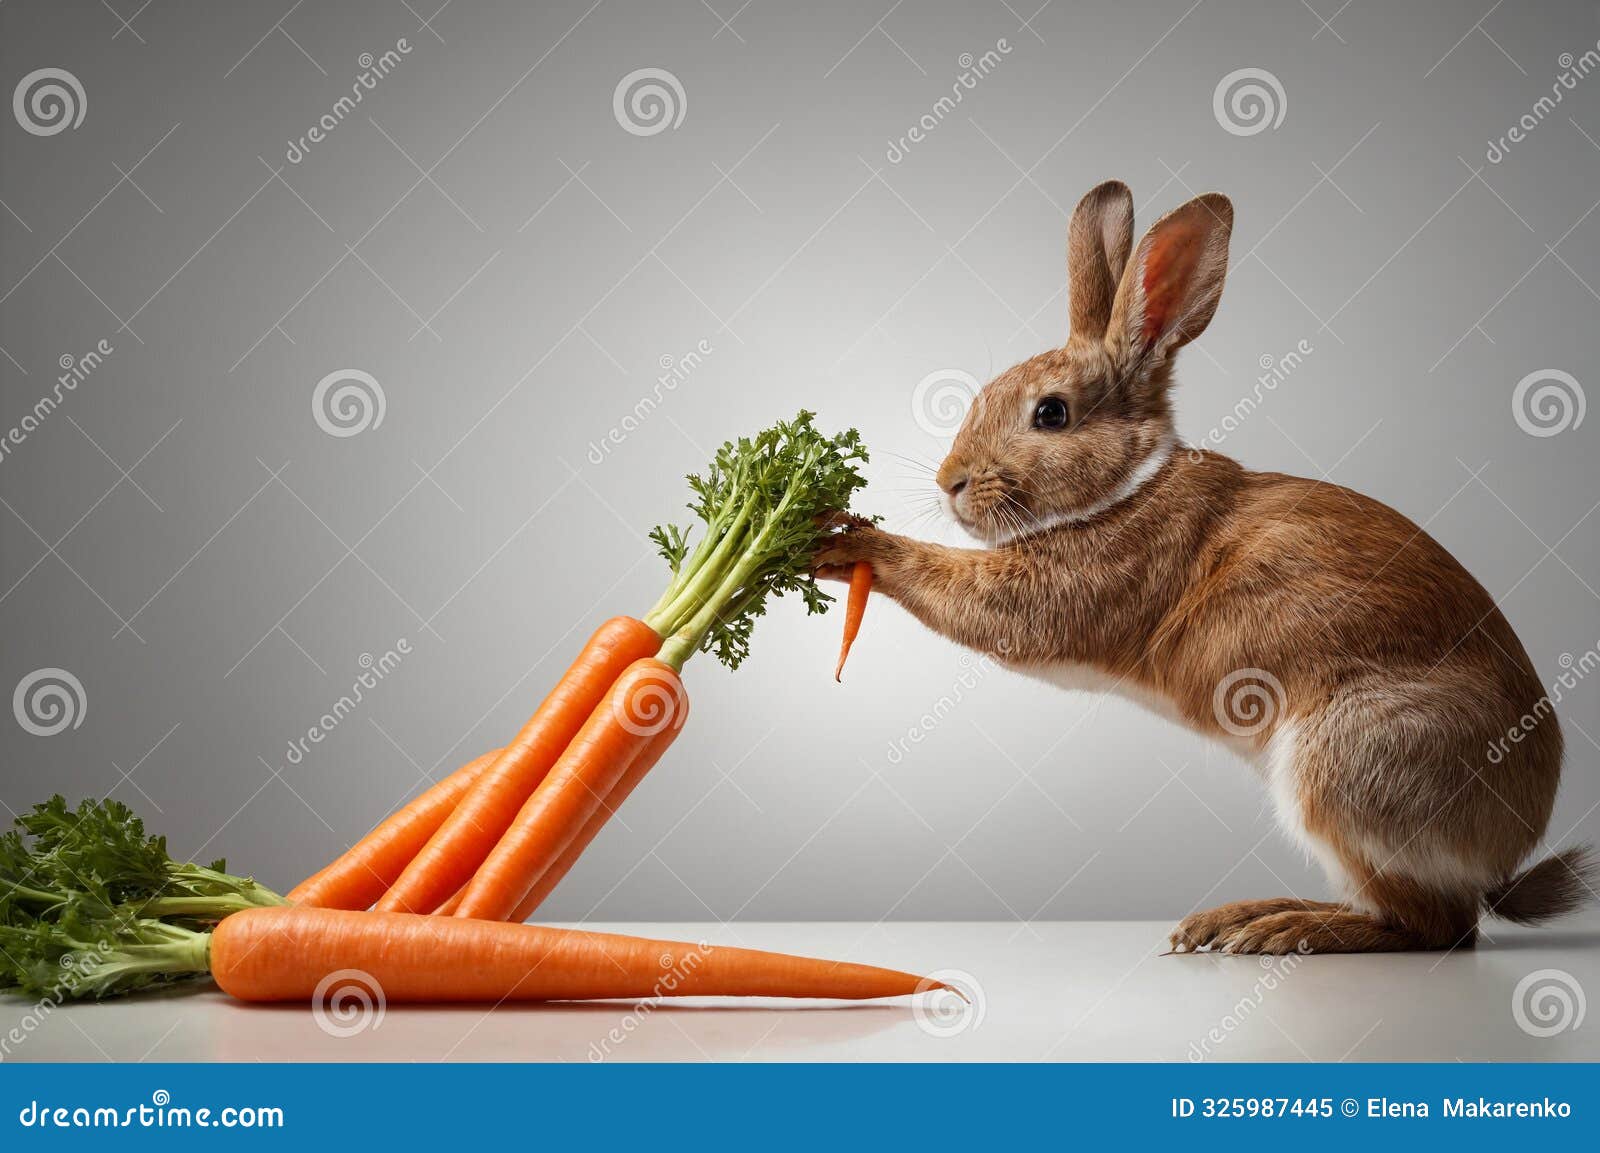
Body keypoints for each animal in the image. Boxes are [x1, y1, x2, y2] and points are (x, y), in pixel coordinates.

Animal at [815, 180, 1593, 954]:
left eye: (1052, 414)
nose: (949, 482)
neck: (1130, 483)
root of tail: (1505, 849)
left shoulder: (1064, 591)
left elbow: (972, 596)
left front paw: (855, 545)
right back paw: (1241, 918)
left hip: (1348, 768)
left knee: (1436, 926)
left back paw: (1280, 931)